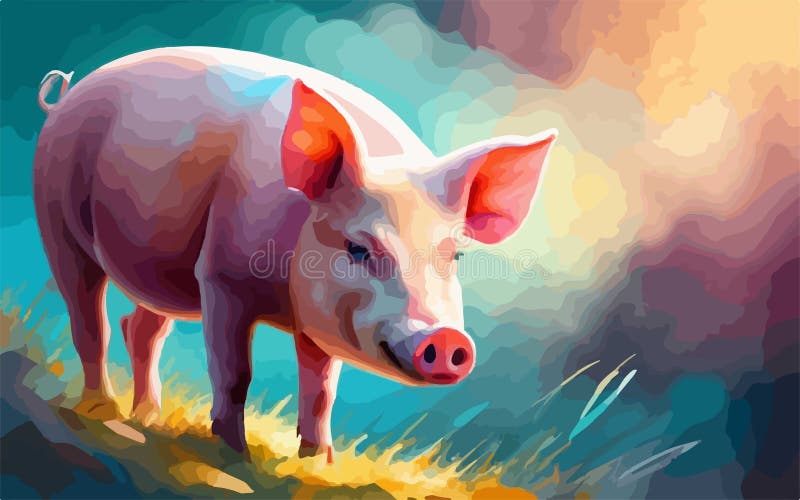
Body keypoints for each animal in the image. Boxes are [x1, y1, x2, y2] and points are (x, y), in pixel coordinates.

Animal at [33, 47, 557, 460]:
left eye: (455, 258)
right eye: (358, 248)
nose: (446, 340)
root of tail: (66, 96)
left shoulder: (318, 323)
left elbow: (321, 391)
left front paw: (317, 463)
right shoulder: (220, 276)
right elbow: (234, 373)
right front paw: (234, 457)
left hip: (156, 268)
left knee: (141, 328)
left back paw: (149, 419)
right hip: (56, 216)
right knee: (90, 322)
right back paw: (102, 410)